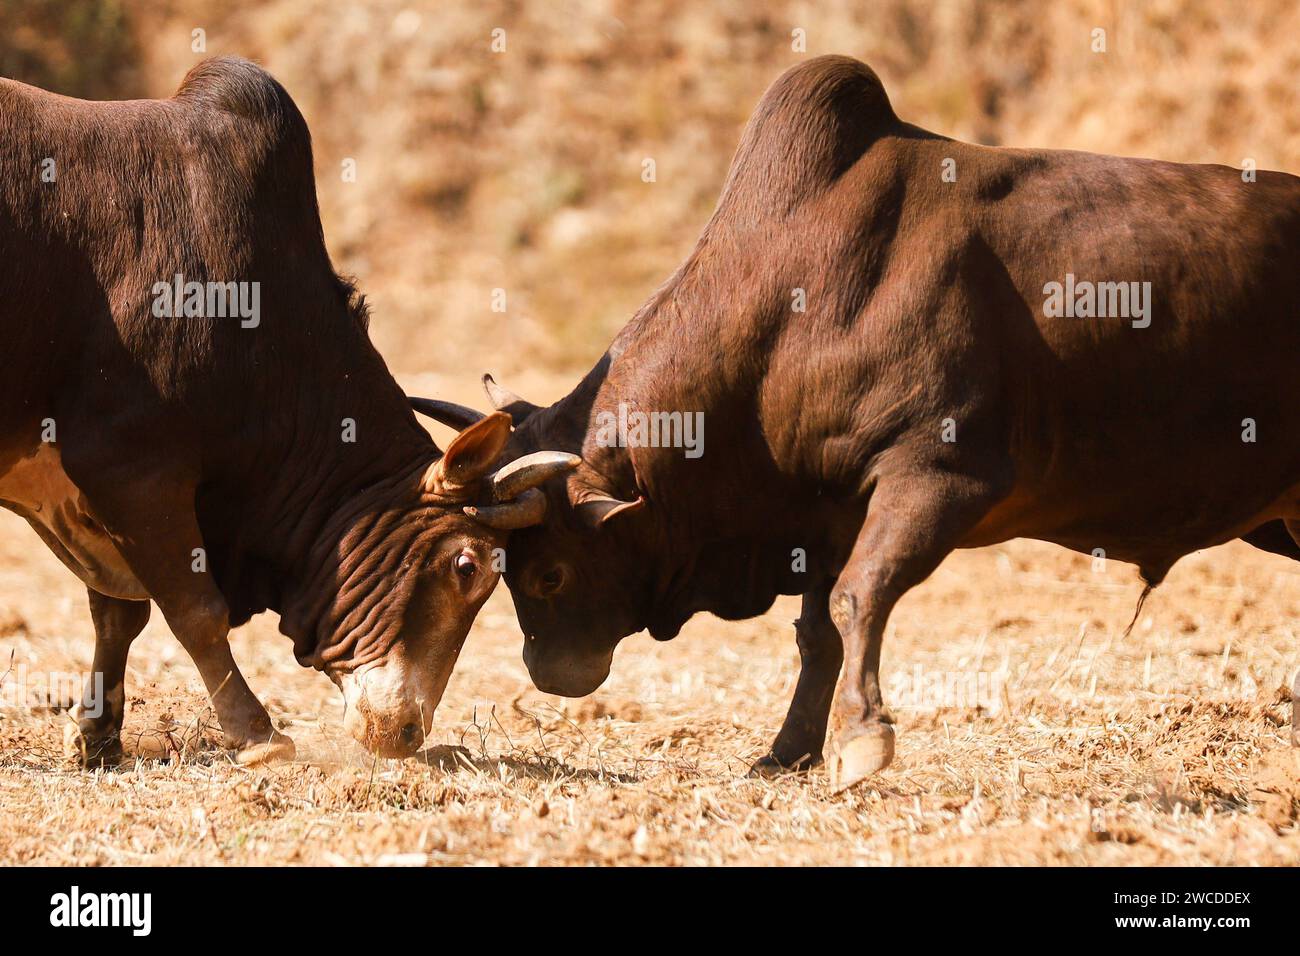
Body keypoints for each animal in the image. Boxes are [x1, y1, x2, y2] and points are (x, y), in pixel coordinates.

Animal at [0, 57, 576, 762]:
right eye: (466, 567)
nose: (407, 733)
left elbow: (119, 613)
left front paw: (98, 733)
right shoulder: (131, 465)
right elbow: (196, 610)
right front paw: (257, 733)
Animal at [415, 55, 1300, 789]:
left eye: (550, 574)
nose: (551, 673)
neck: (793, 310)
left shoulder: (940, 476)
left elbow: (858, 597)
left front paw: (862, 738)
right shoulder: (827, 509)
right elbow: (818, 632)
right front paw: (788, 750)